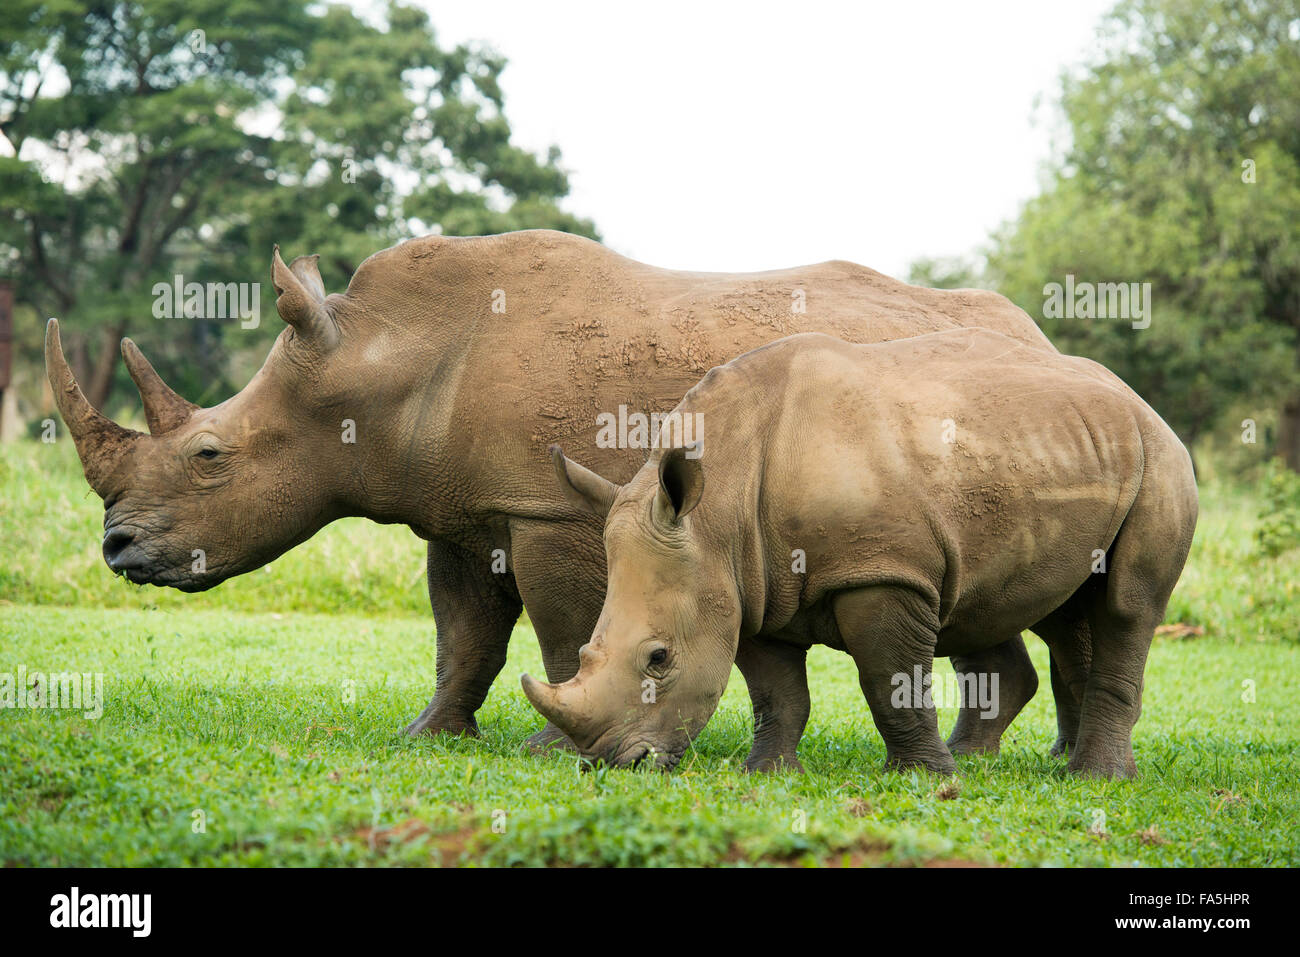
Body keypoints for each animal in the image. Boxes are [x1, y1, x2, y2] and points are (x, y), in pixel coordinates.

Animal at [47, 229, 1060, 759]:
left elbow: (563, 626)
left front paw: (552, 746)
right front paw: (429, 736)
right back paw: (987, 753)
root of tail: (1041, 336)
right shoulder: (462, 512)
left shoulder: (549, 505)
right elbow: (463, 635)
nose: (116, 550)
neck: (380, 359)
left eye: (209, 455)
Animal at [529, 330, 1199, 778]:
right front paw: (768, 773)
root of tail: (1137, 398)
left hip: (1161, 458)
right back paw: (986, 760)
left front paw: (924, 779)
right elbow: (777, 693)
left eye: (659, 658)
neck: (717, 507)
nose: (611, 762)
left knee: (1126, 606)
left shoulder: (881, 573)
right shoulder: (747, 583)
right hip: (1052, 452)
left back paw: (1092, 777)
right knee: (1044, 604)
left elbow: (889, 681)